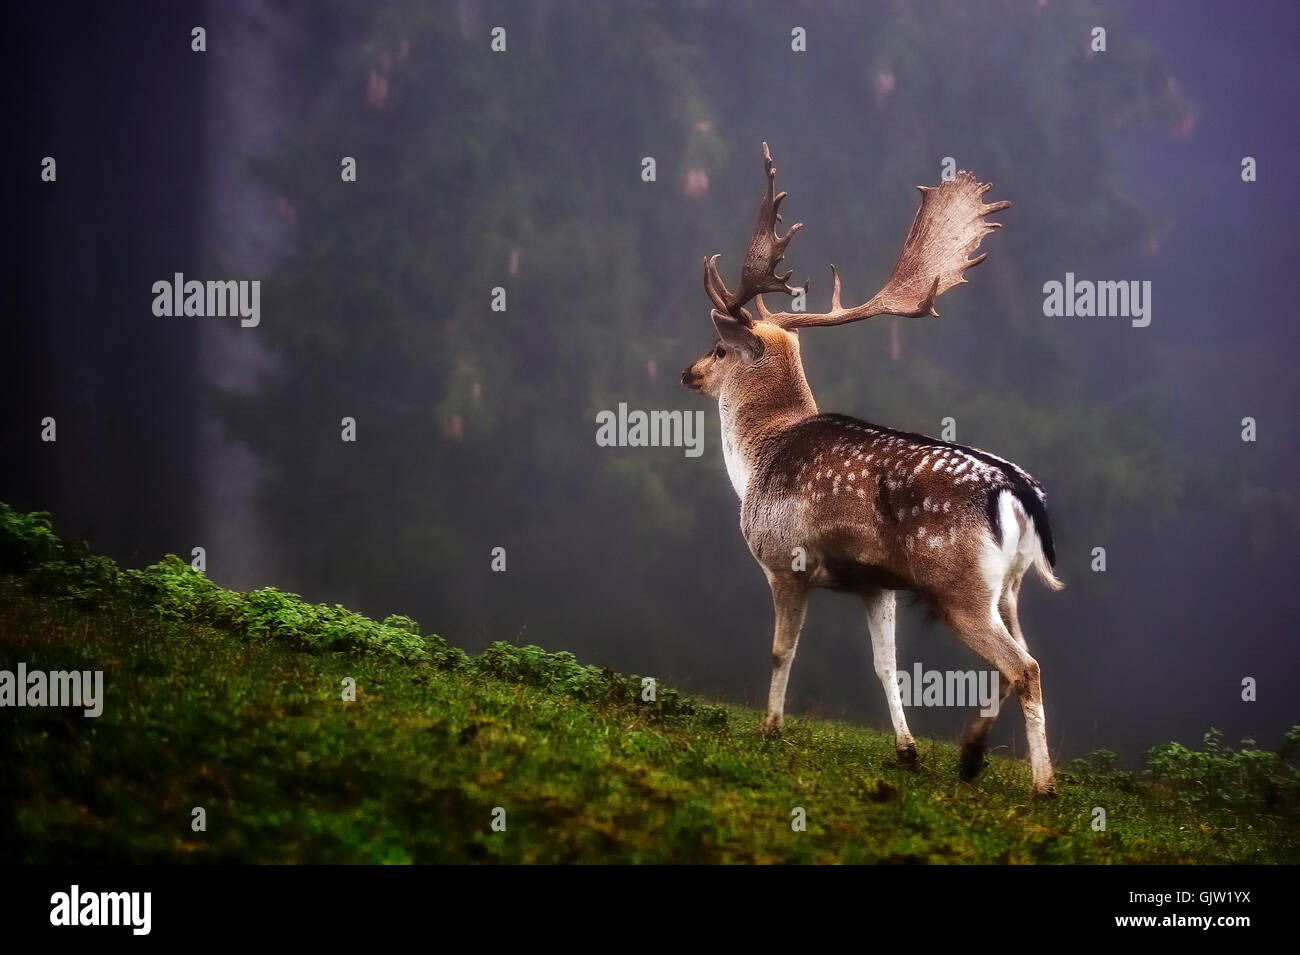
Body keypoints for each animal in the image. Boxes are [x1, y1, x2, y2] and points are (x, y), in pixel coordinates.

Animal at [682, 144, 1063, 796]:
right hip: (1007, 587)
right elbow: (887, 665)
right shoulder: (875, 583)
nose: (689, 373)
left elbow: (781, 651)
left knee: (1025, 666)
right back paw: (971, 755)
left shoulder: (783, 560)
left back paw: (1041, 783)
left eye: (720, 349)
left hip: (958, 584)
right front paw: (907, 751)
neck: (758, 458)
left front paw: (769, 729)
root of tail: (1015, 489)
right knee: (1020, 660)